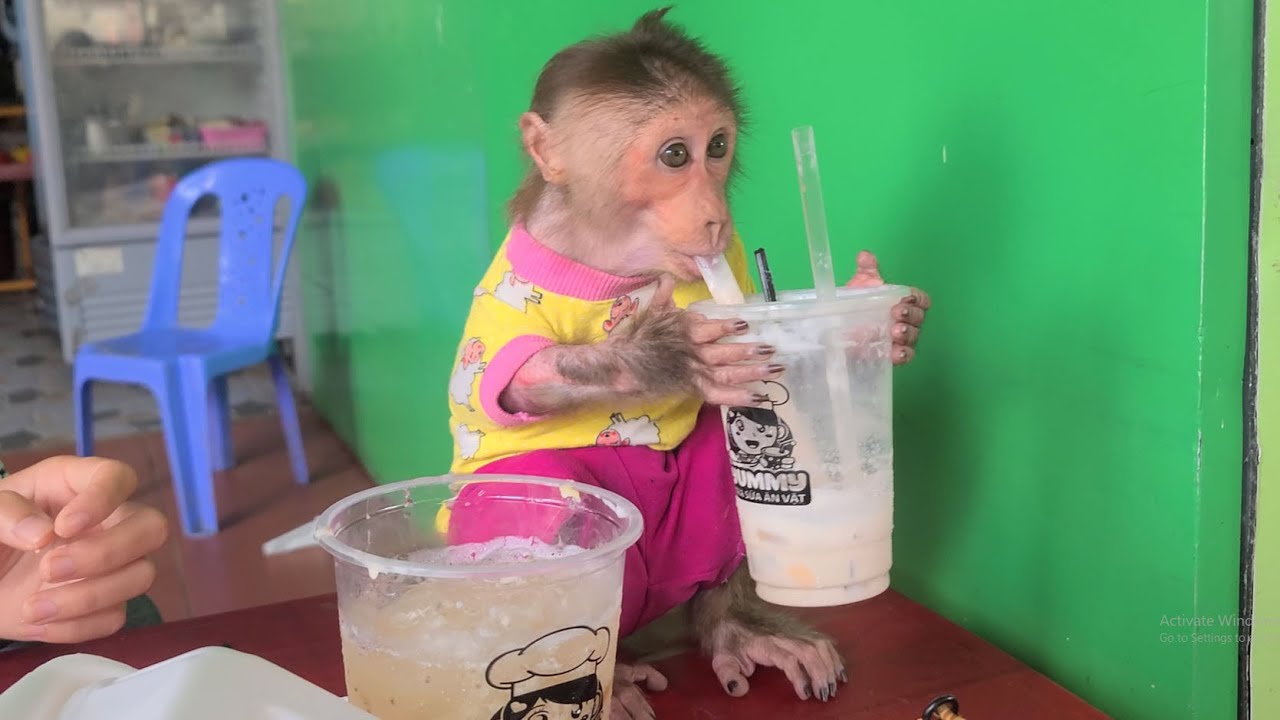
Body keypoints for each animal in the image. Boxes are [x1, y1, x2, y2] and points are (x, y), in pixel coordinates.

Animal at [444, 8, 931, 719]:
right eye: (675, 156)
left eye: (718, 147)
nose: (715, 214)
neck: (609, 263)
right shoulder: (508, 300)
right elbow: (528, 381)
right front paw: (665, 352)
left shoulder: (730, 269)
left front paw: (891, 317)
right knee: (538, 489)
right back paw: (608, 677)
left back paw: (736, 625)